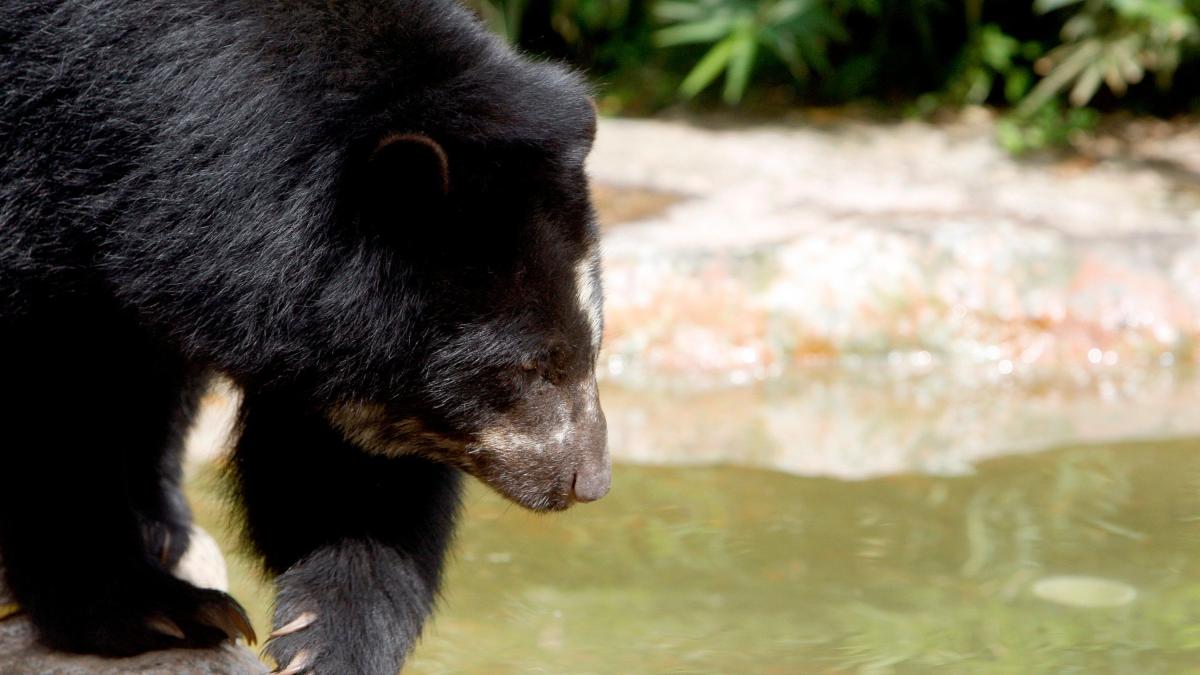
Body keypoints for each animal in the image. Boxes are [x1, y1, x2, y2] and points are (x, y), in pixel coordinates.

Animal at [0, 1, 609, 673]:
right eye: (530, 367)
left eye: (592, 345)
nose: (588, 482)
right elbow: (52, 410)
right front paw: (160, 612)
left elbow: (339, 462)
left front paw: (329, 636)